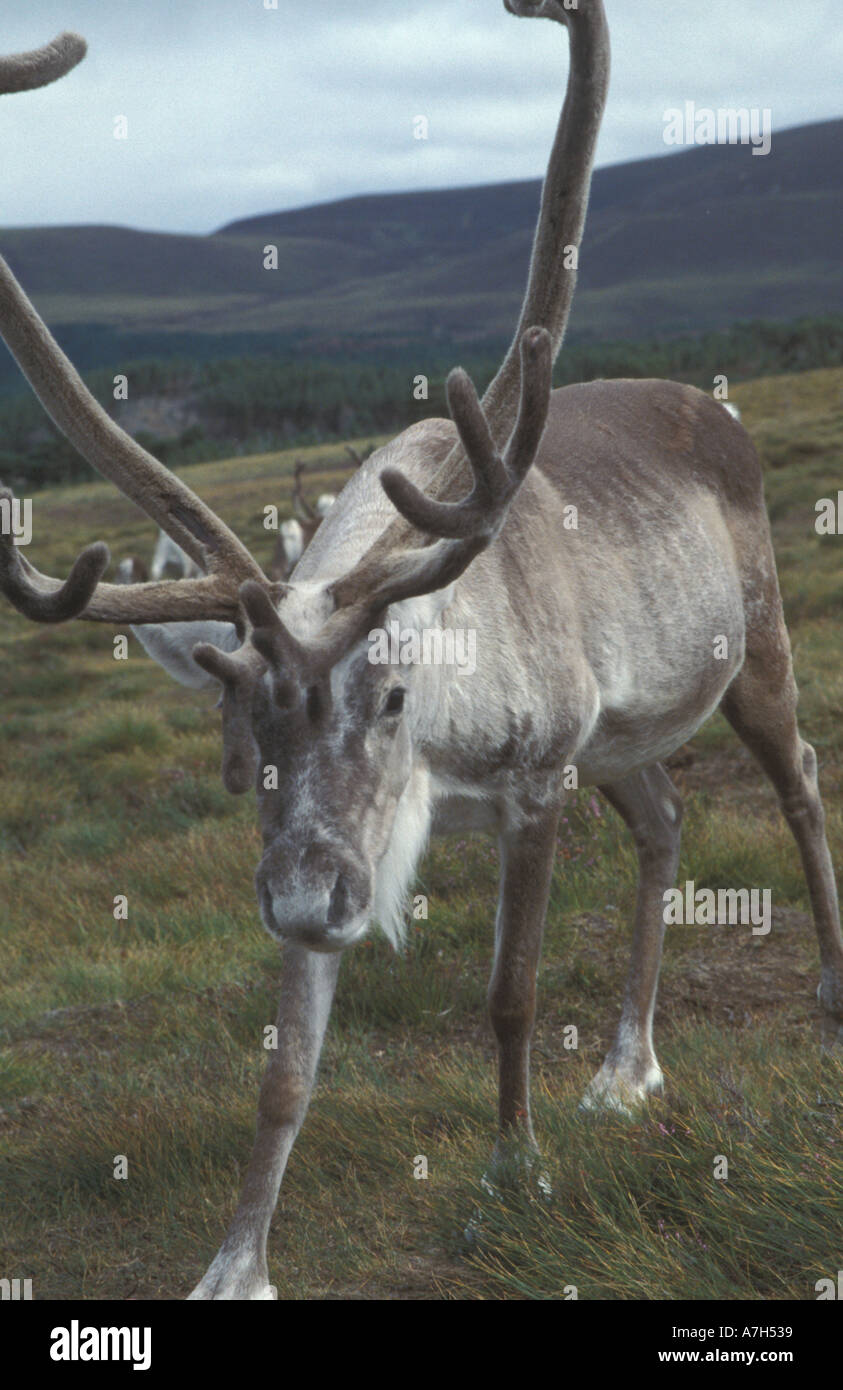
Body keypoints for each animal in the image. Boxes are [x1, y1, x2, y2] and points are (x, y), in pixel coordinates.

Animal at [0, 4, 841, 1303]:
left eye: (392, 696)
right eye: (239, 723)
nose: (302, 900)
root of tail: (718, 408)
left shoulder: (536, 776)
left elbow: (510, 992)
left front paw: (513, 1173)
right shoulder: (344, 846)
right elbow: (284, 1070)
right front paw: (235, 1261)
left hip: (749, 647)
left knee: (798, 778)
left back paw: (829, 993)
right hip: (620, 738)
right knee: (664, 820)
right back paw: (625, 1067)